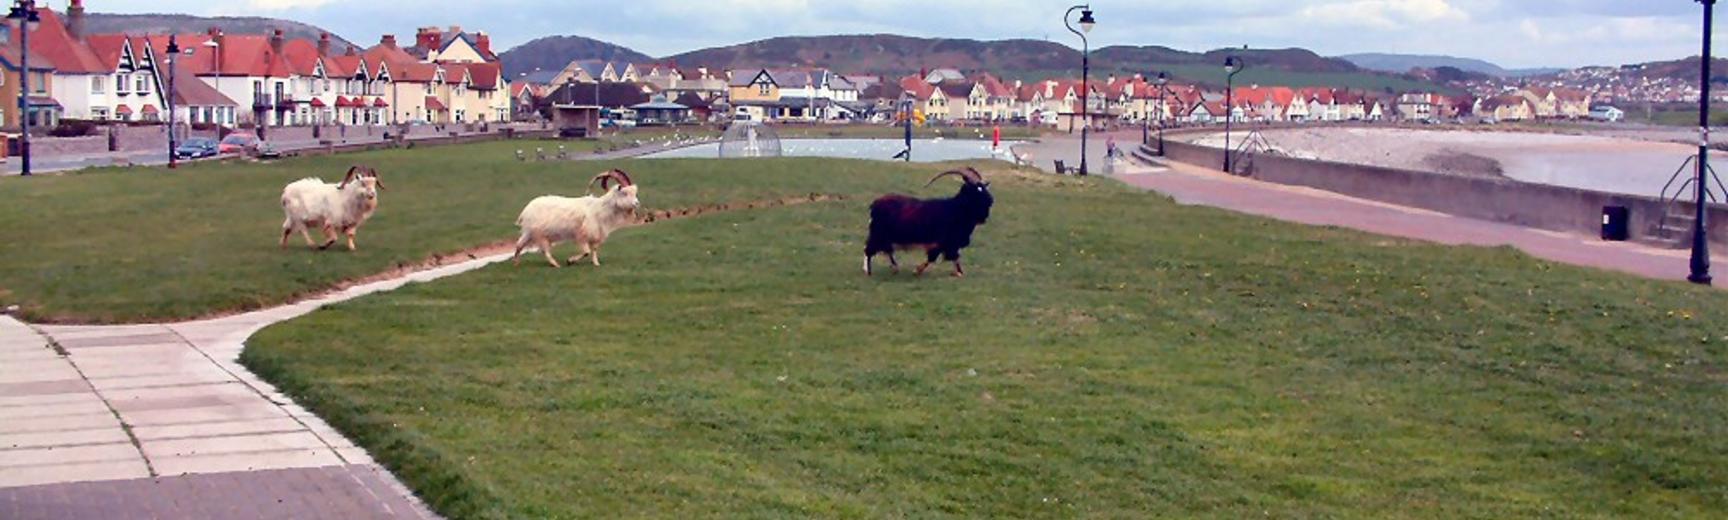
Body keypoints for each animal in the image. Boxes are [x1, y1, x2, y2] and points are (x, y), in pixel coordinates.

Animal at [512, 169, 641, 268]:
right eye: (624, 193)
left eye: (634, 192)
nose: (637, 203)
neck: (600, 208)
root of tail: (527, 209)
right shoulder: (582, 234)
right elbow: (586, 251)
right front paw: (570, 261)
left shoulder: (596, 234)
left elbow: (594, 249)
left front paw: (596, 263)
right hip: (539, 233)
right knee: (544, 250)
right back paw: (555, 264)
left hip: (529, 232)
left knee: (519, 244)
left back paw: (516, 263)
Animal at [864, 167, 993, 277]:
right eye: (977, 190)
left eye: (983, 187)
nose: (990, 200)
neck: (955, 209)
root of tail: (875, 204)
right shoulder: (943, 242)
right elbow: (933, 258)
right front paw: (917, 271)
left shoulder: (950, 243)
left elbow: (954, 257)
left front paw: (959, 272)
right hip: (879, 233)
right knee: (870, 250)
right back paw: (869, 271)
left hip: (885, 235)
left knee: (886, 250)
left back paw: (894, 268)